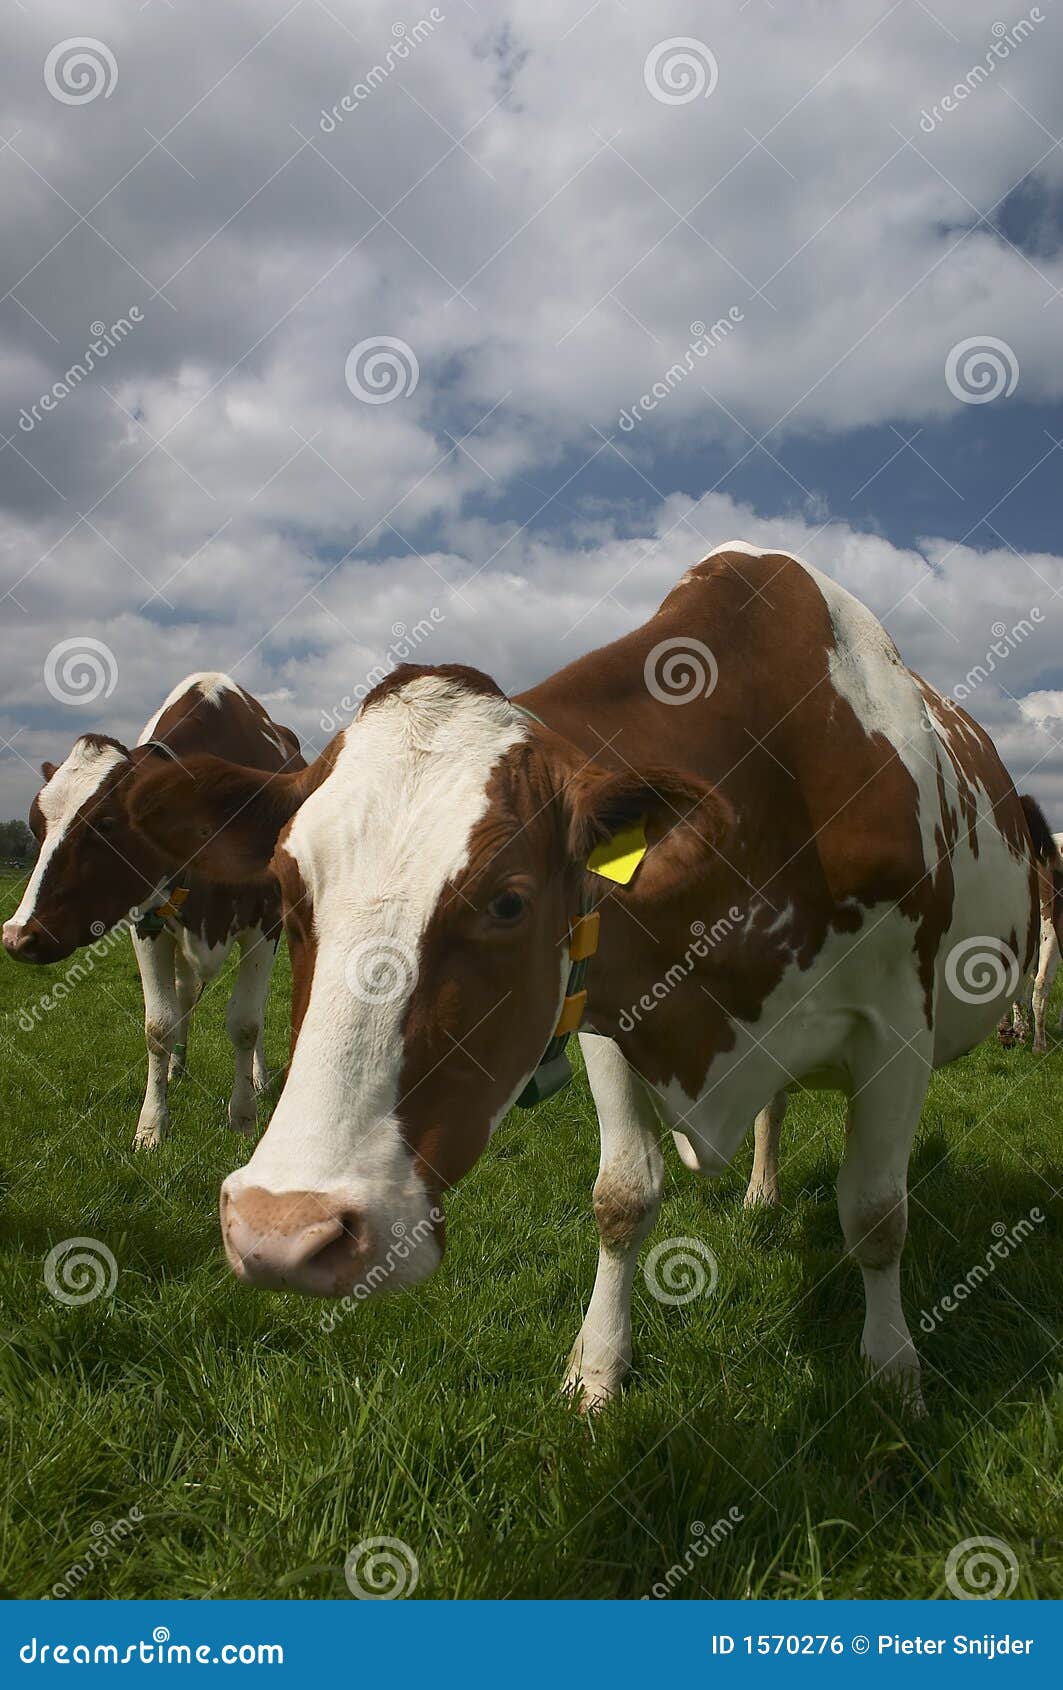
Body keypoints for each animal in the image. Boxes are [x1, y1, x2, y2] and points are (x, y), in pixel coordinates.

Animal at [2, 673, 304, 1150]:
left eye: (106, 824)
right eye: (35, 827)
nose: (17, 936)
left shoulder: (265, 923)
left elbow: (246, 1022)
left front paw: (243, 1118)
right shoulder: (146, 923)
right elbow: (159, 1026)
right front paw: (151, 1126)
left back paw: (256, 1078)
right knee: (184, 996)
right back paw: (178, 1068)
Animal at [126, 546, 1053, 1414]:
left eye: (509, 900)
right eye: (288, 891)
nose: (281, 1229)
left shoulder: (896, 1031)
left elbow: (876, 1215)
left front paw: (894, 1376)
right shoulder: (611, 1007)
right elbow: (621, 1199)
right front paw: (598, 1370)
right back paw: (760, 1193)